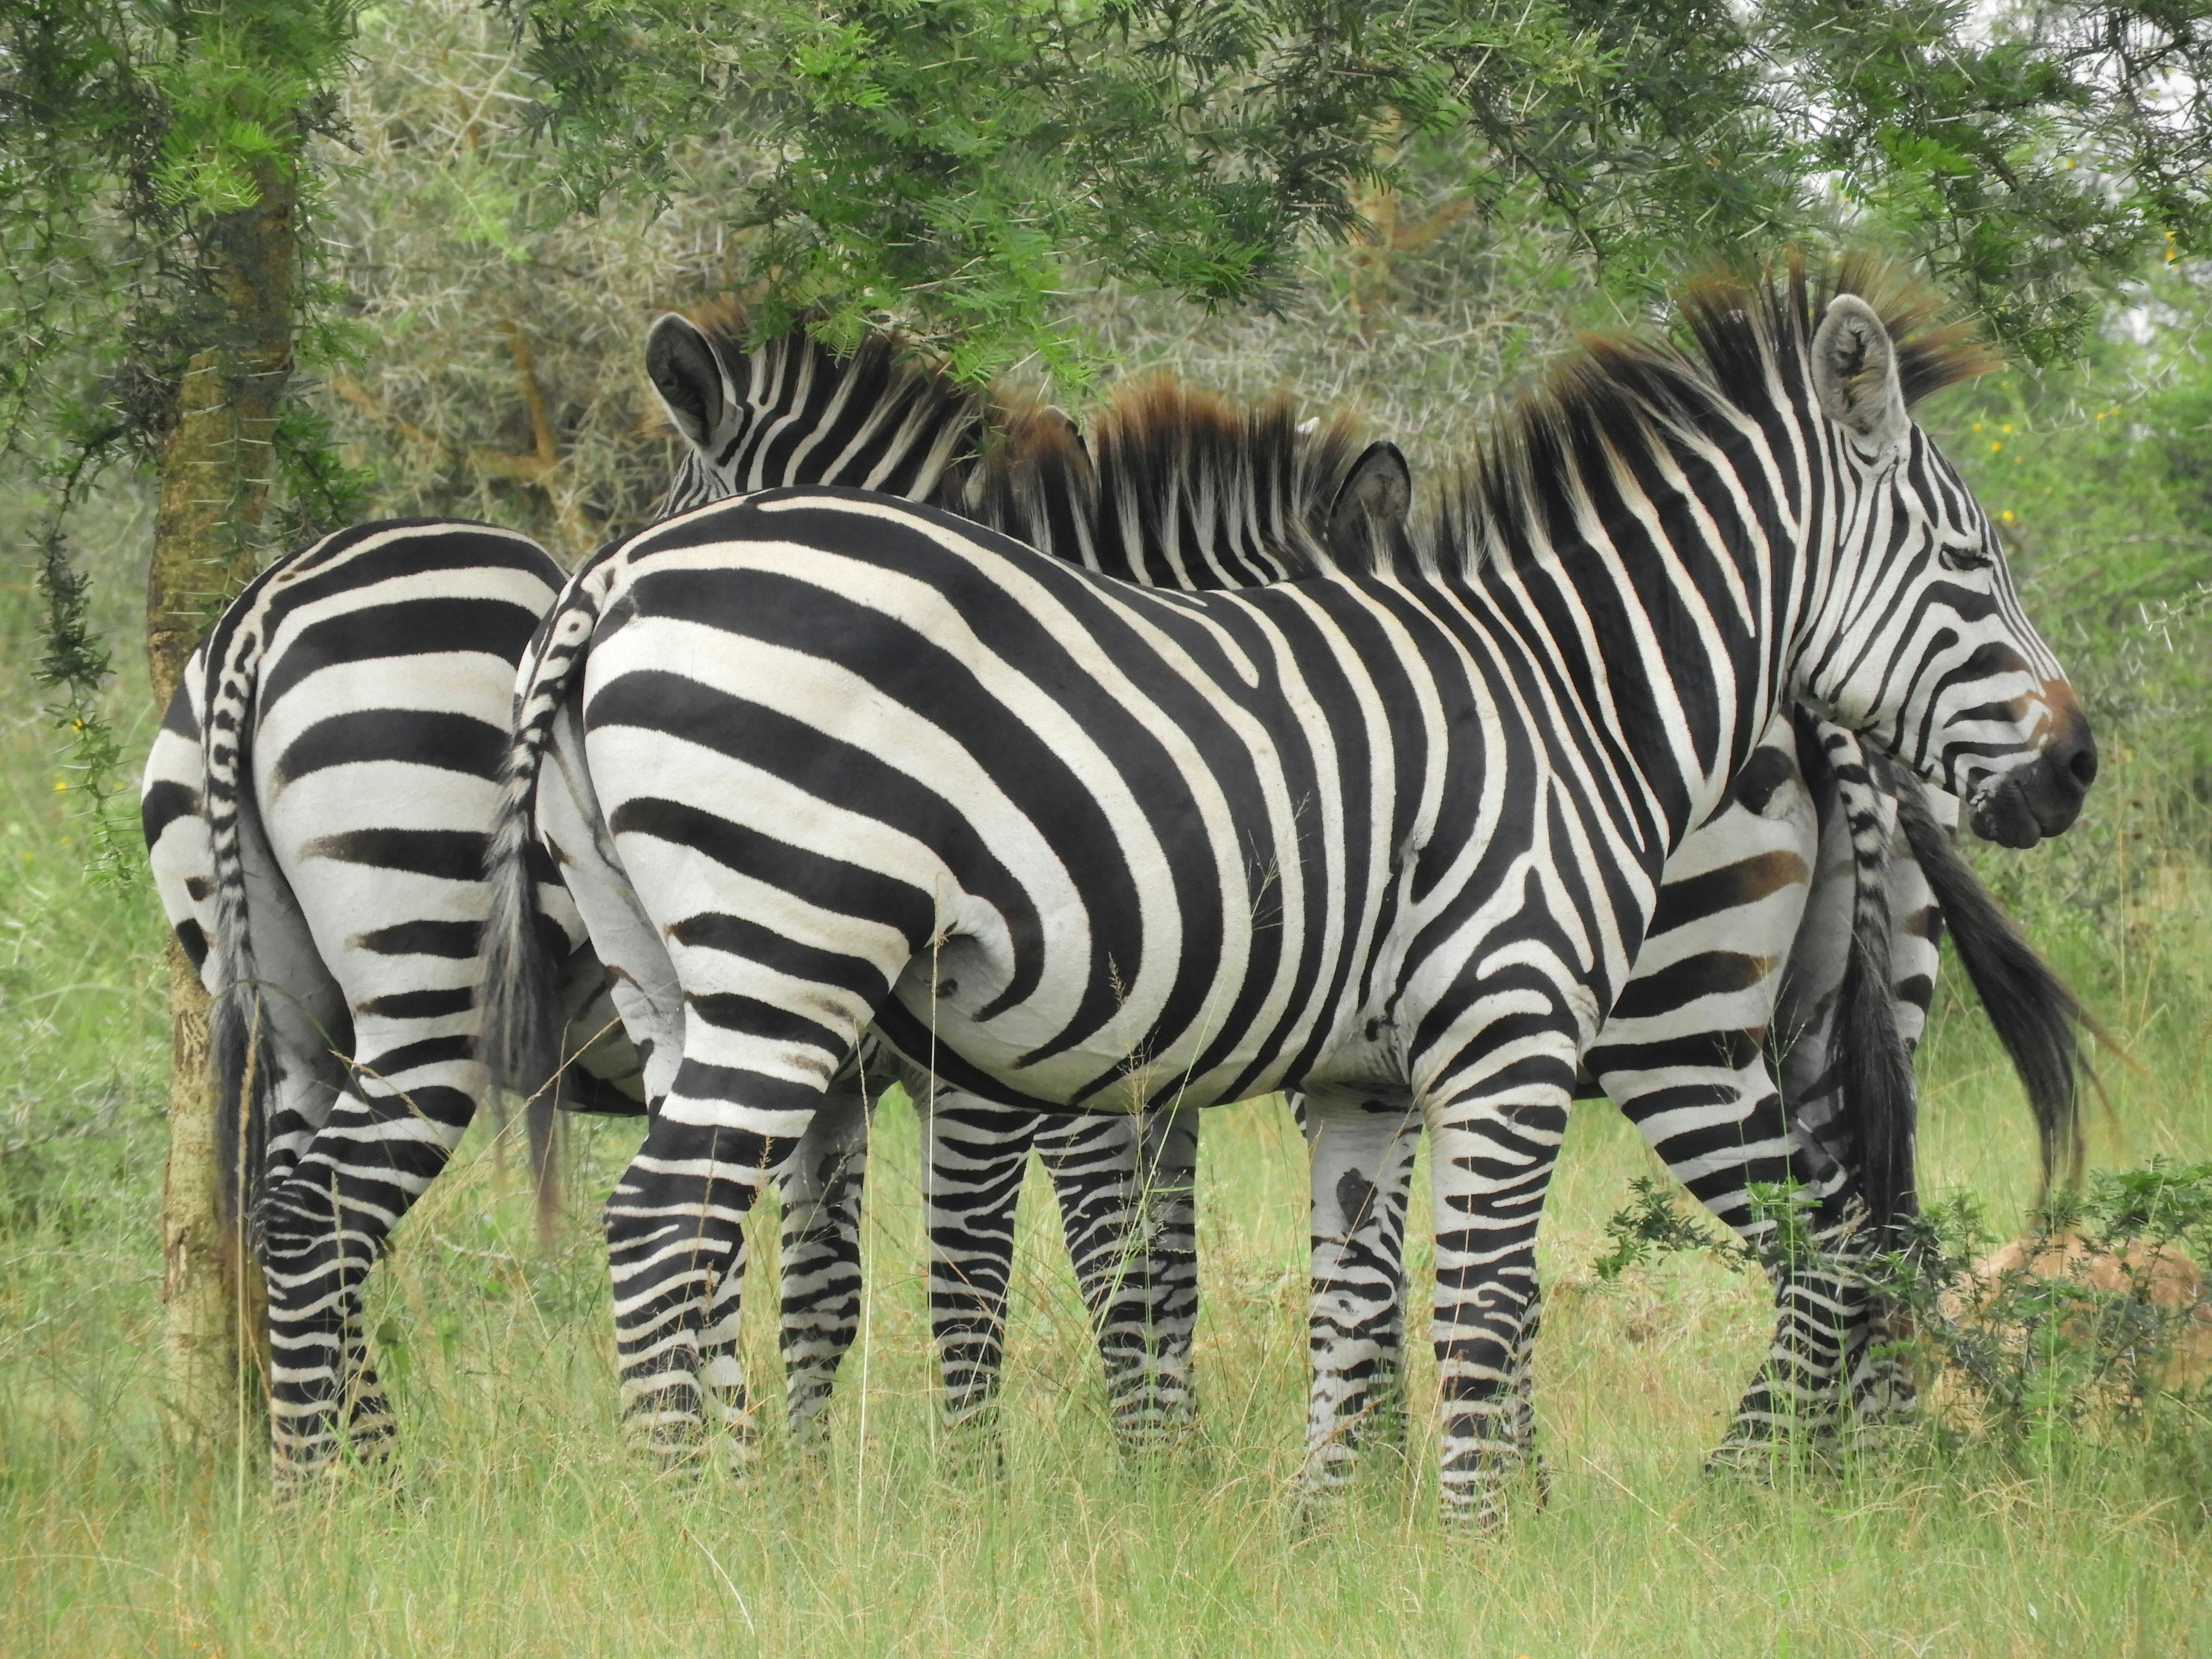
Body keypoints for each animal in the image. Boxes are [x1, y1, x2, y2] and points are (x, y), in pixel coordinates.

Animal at [480, 257, 2098, 1524]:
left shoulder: (1351, 1075)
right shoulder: (1481, 1040)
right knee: (667, 1222)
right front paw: (1456, 1537)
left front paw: (1323, 1530)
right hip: (794, 967)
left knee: (1865, 1239)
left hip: (699, 985)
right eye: (1976, 561)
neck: (1577, 689)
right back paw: (695, 1516)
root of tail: (613, 594)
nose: (2077, 766)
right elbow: (1450, 1295)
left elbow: (1344, 1295)